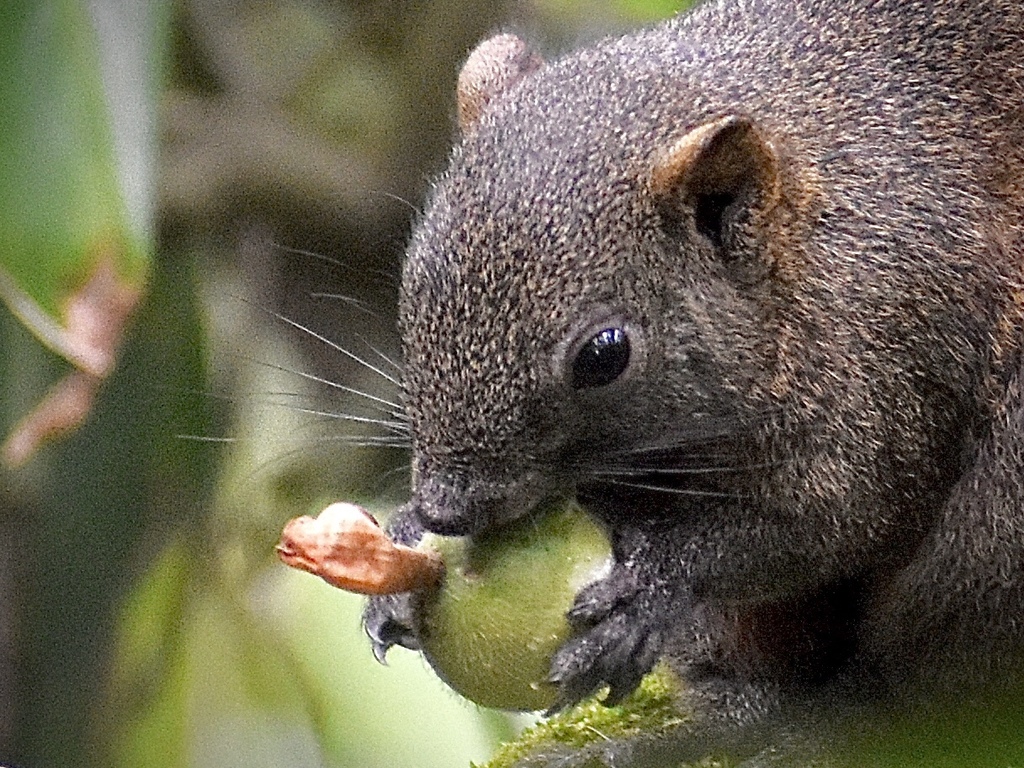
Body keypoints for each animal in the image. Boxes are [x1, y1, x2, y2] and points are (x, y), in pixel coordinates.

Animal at [365, 0, 1024, 761]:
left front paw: (653, 587)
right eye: (412, 282)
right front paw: (402, 544)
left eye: (604, 355)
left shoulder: (894, 353)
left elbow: (836, 518)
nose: (446, 506)